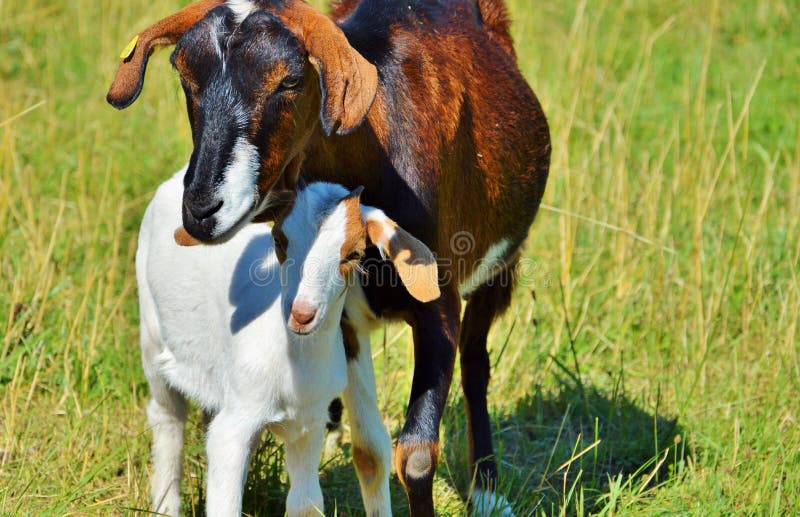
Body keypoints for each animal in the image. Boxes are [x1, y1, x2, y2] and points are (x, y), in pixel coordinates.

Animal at [137, 169, 439, 516]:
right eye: (279, 240)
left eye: (354, 254)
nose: (301, 314)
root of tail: (175, 178)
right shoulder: (233, 428)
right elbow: (225, 502)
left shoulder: (309, 424)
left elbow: (305, 502)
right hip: (152, 335)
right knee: (167, 416)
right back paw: (165, 504)